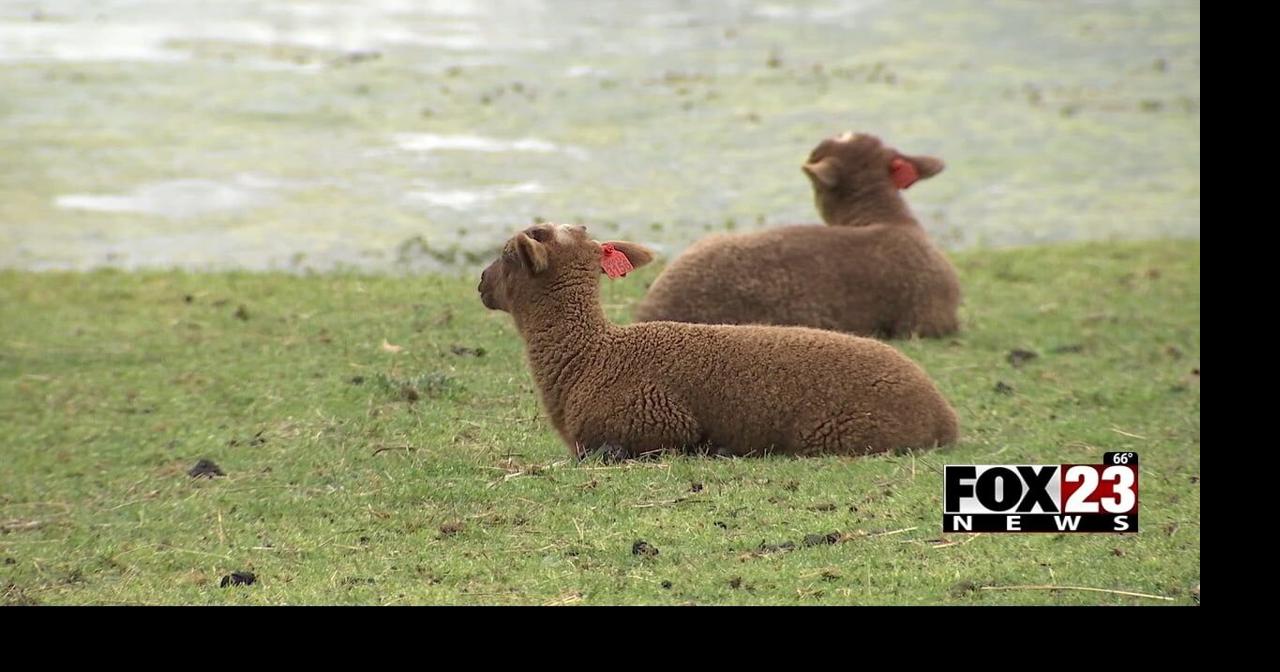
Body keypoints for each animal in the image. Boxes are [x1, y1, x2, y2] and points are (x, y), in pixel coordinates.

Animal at [478, 222, 959, 460]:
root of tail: (943, 414)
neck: (589, 358)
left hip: (852, 433)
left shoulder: (649, 426)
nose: (481, 283)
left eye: (508, 255)